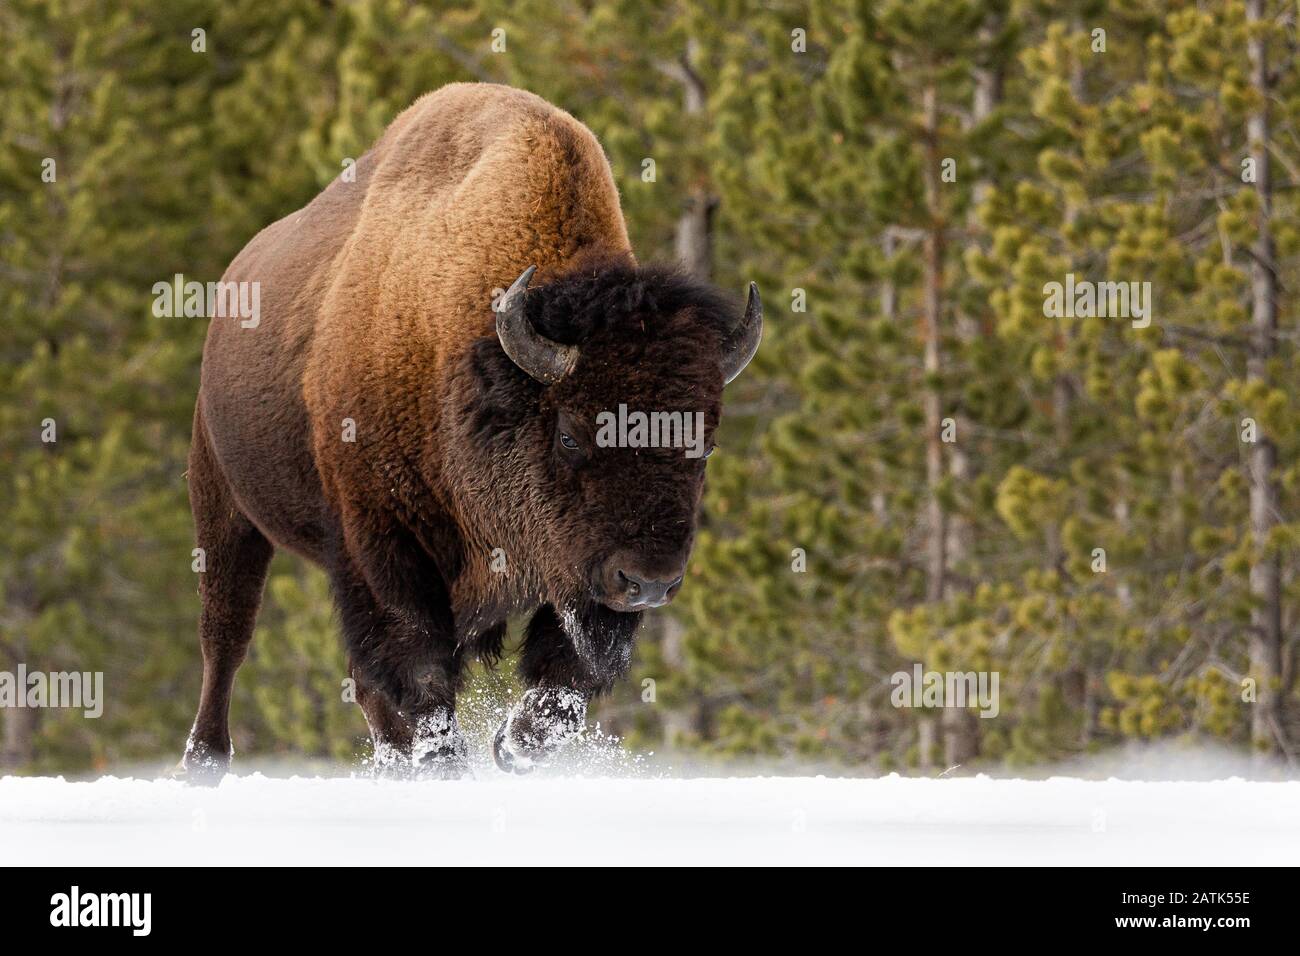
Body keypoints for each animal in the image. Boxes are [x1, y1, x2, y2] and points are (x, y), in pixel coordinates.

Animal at [181, 83, 761, 779]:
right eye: (569, 435)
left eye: (703, 442)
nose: (648, 581)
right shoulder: (384, 540)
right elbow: (421, 666)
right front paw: (448, 763)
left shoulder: (579, 573)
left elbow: (565, 676)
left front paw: (508, 746)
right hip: (223, 503)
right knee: (226, 634)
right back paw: (204, 763)